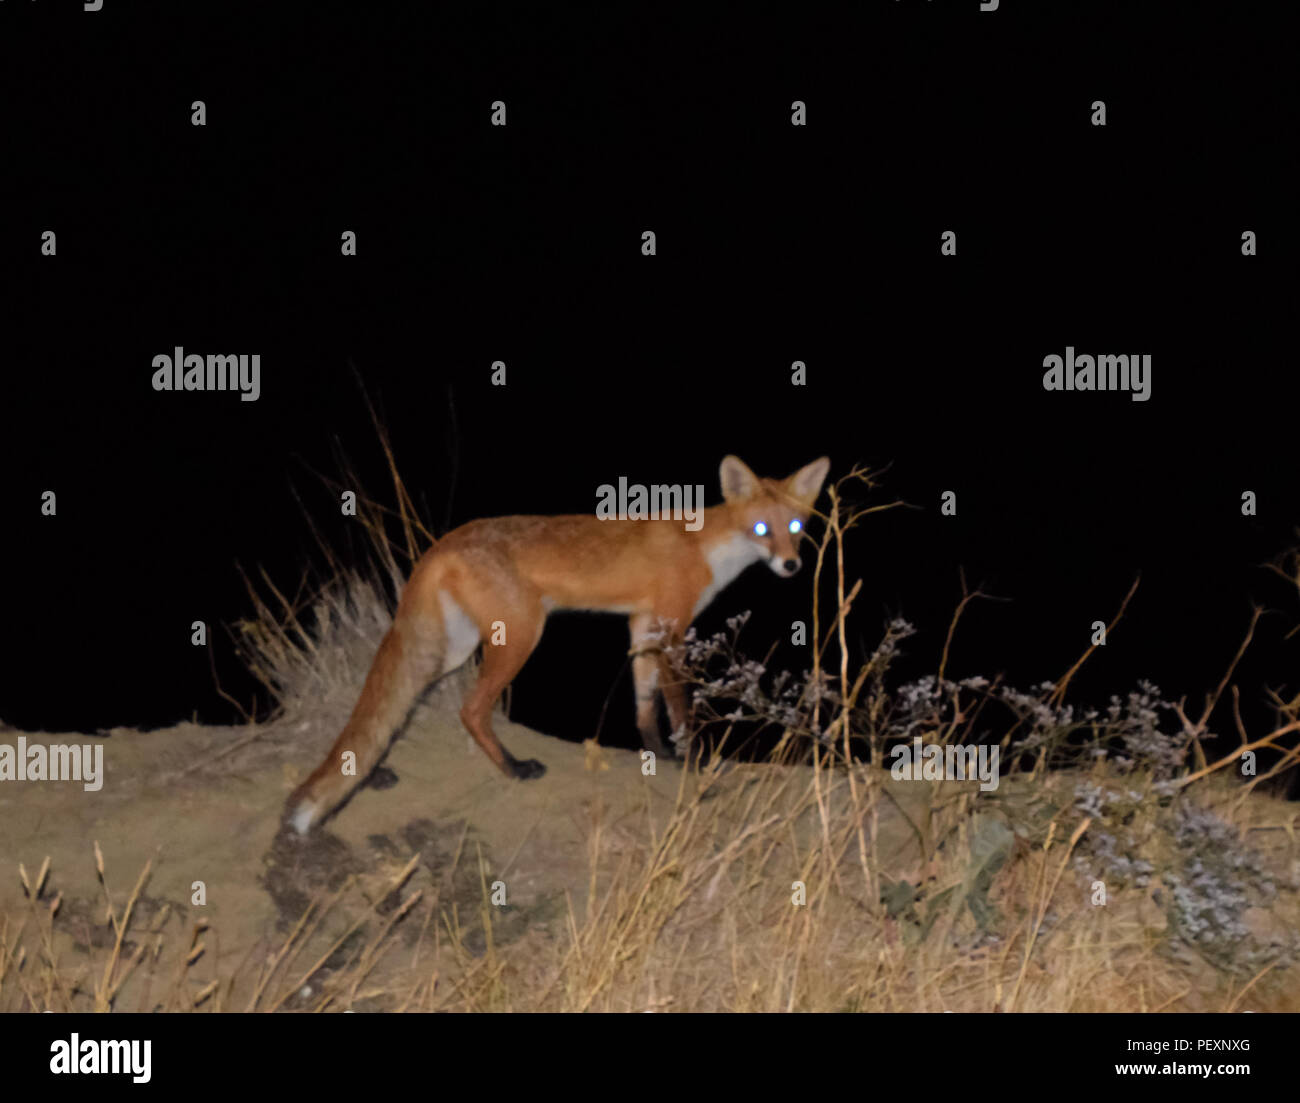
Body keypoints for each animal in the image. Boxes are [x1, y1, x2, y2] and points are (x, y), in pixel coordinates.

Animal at [284, 454, 831, 835]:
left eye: (795, 528)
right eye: (761, 529)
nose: (791, 566)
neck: (705, 546)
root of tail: (445, 541)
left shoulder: (642, 625)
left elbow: (644, 704)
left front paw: (657, 753)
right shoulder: (672, 629)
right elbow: (678, 703)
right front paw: (693, 758)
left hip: (453, 648)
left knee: (391, 705)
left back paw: (370, 773)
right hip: (520, 637)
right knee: (469, 709)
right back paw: (512, 768)